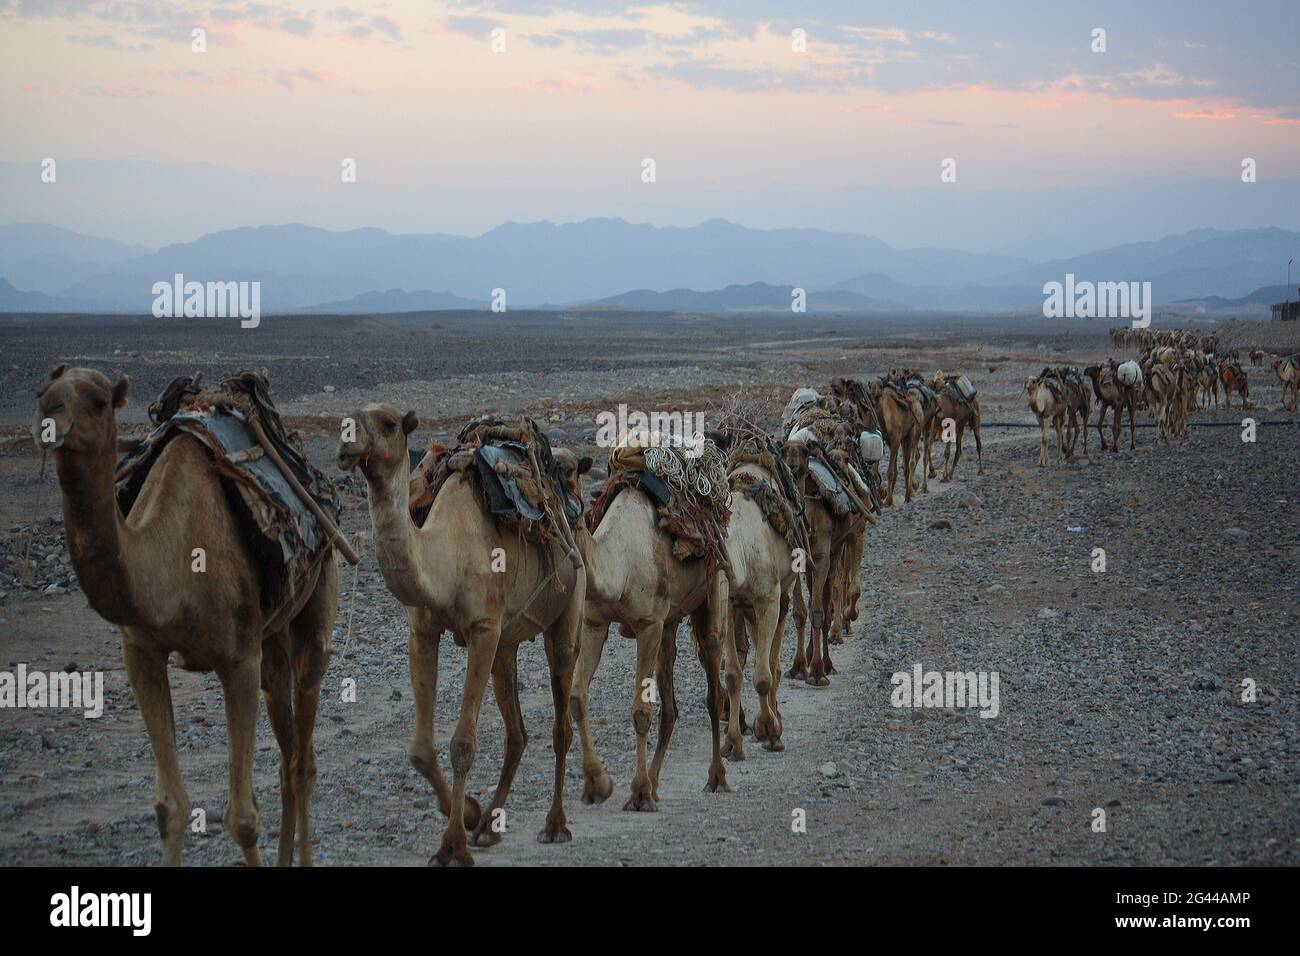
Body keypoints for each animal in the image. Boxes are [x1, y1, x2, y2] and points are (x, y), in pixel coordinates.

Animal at [33, 366, 338, 867]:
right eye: (42, 391)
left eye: (98, 400)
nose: (49, 413)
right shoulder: (141, 654)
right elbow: (169, 807)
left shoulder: (238, 660)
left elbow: (242, 818)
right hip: (271, 638)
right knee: (287, 748)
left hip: (318, 597)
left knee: (302, 760)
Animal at [336, 405, 585, 866]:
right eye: (346, 421)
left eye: (388, 424)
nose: (347, 447)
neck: (445, 557)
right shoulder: (423, 631)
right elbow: (420, 750)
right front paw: (468, 812)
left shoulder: (483, 630)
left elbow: (463, 745)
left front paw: (452, 844)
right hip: (507, 644)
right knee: (517, 733)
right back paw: (488, 825)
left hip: (567, 604)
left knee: (561, 722)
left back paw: (555, 824)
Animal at [570, 469, 732, 812]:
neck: (618, 566)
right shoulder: (593, 622)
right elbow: (577, 699)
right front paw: (596, 785)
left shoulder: (648, 626)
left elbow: (641, 712)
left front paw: (639, 793)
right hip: (669, 623)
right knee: (670, 704)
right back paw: (656, 782)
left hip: (713, 588)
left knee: (713, 683)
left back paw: (716, 777)